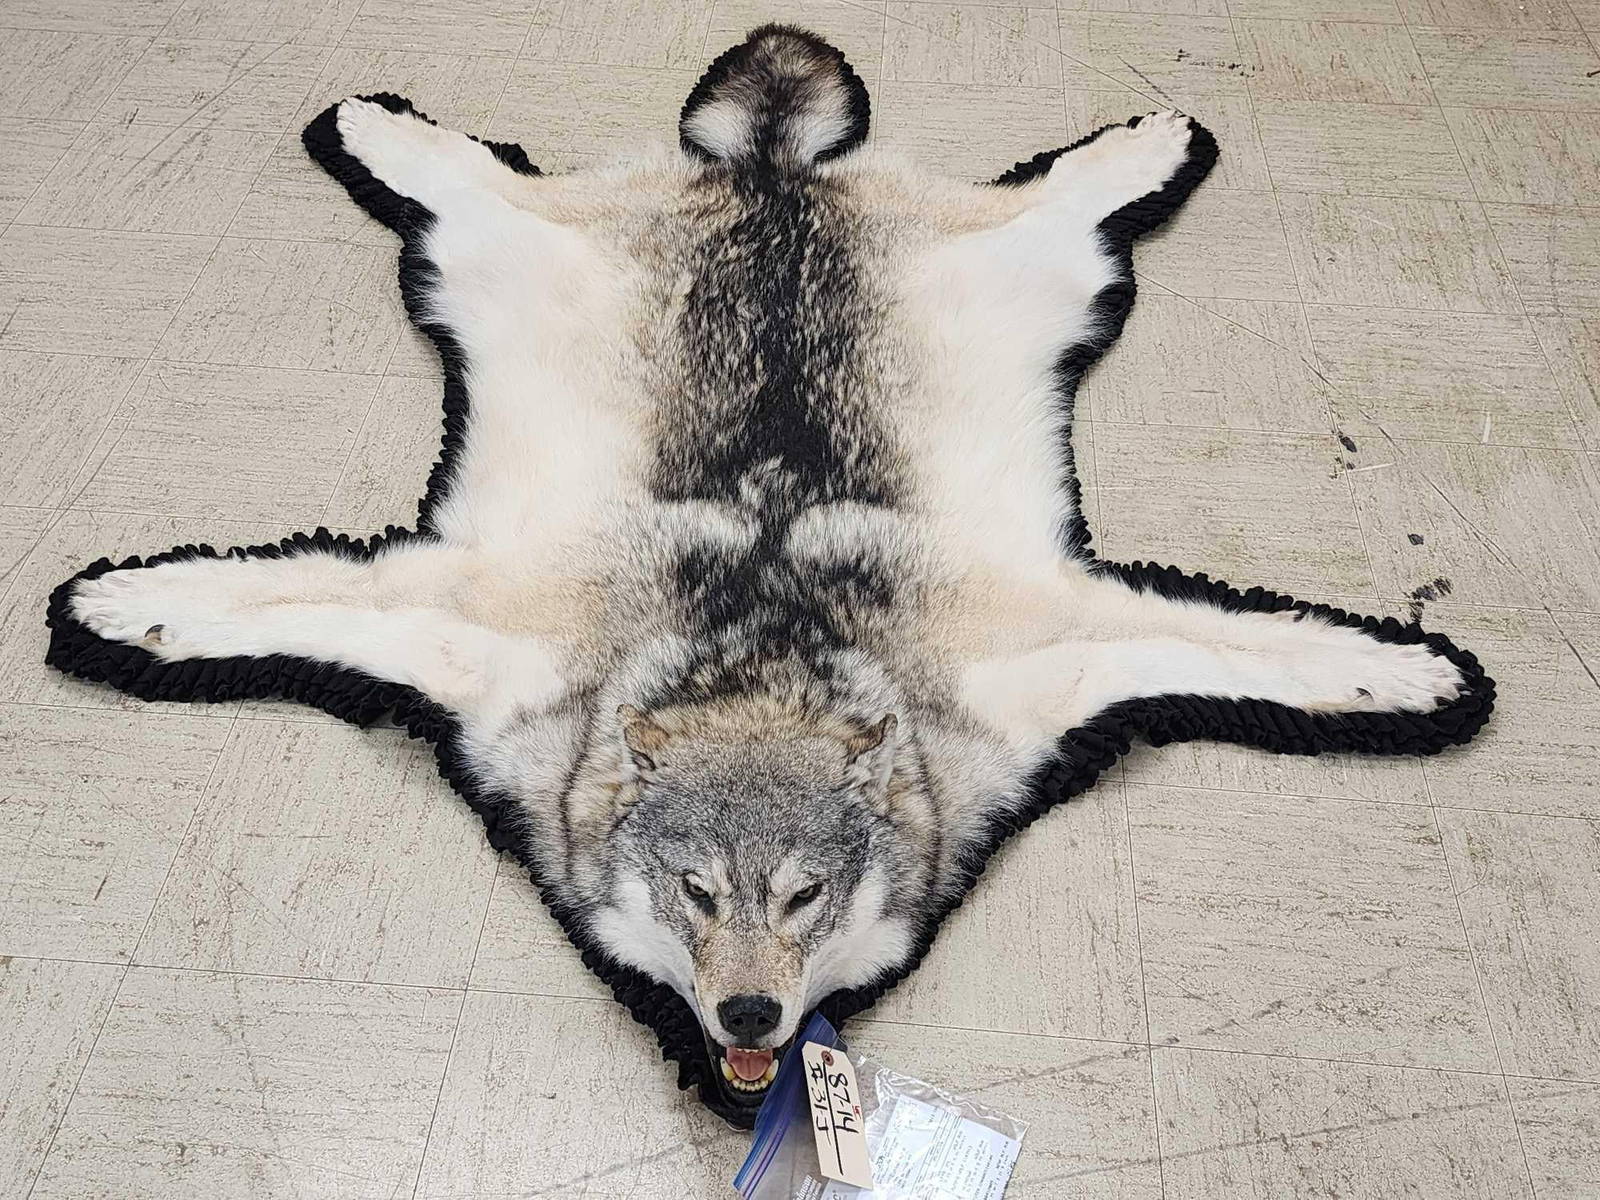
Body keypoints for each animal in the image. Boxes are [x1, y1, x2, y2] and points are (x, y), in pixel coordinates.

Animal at [66, 28, 1473, 1118]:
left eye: (803, 897)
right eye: (696, 893)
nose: (746, 1016)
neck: (762, 648)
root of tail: (771, 170)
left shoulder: (1048, 650)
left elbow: (1275, 650)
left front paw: (1419, 675)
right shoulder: (472, 630)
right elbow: (255, 597)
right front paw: (121, 601)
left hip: (1029, 266)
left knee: (1060, 192)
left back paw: (1150, 141)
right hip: (500, 253)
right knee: (467, 175)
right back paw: (371, 123)